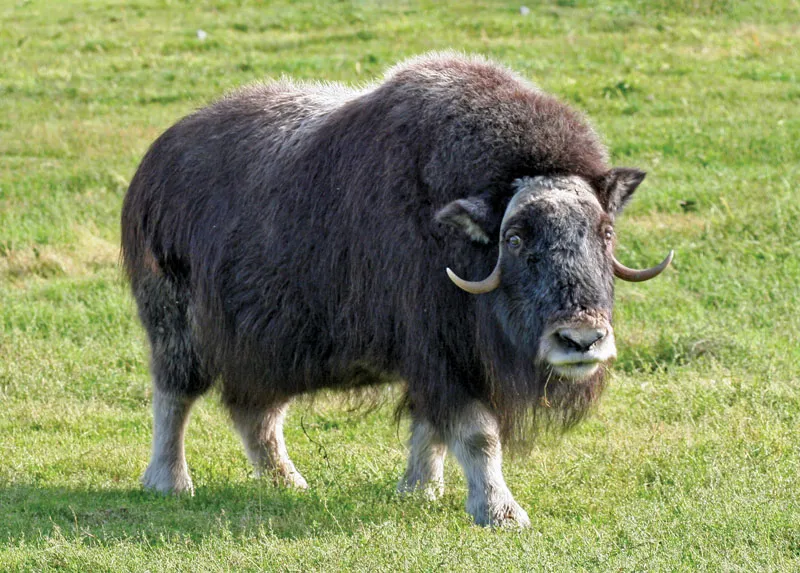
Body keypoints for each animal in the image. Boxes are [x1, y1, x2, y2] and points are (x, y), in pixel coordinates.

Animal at [121, 53, 672, 527]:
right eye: (514, 239)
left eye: (605, 233)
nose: (581, 340)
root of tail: (154, 161)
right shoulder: (439, 352)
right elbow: (477, 433)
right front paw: (501, 514)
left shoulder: (437, 357)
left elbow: (431, 430)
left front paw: (420, 490)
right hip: (178, 323)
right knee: (174, 395)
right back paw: (171, 484)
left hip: (267, 347)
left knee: (257, 413)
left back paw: (289, 483)